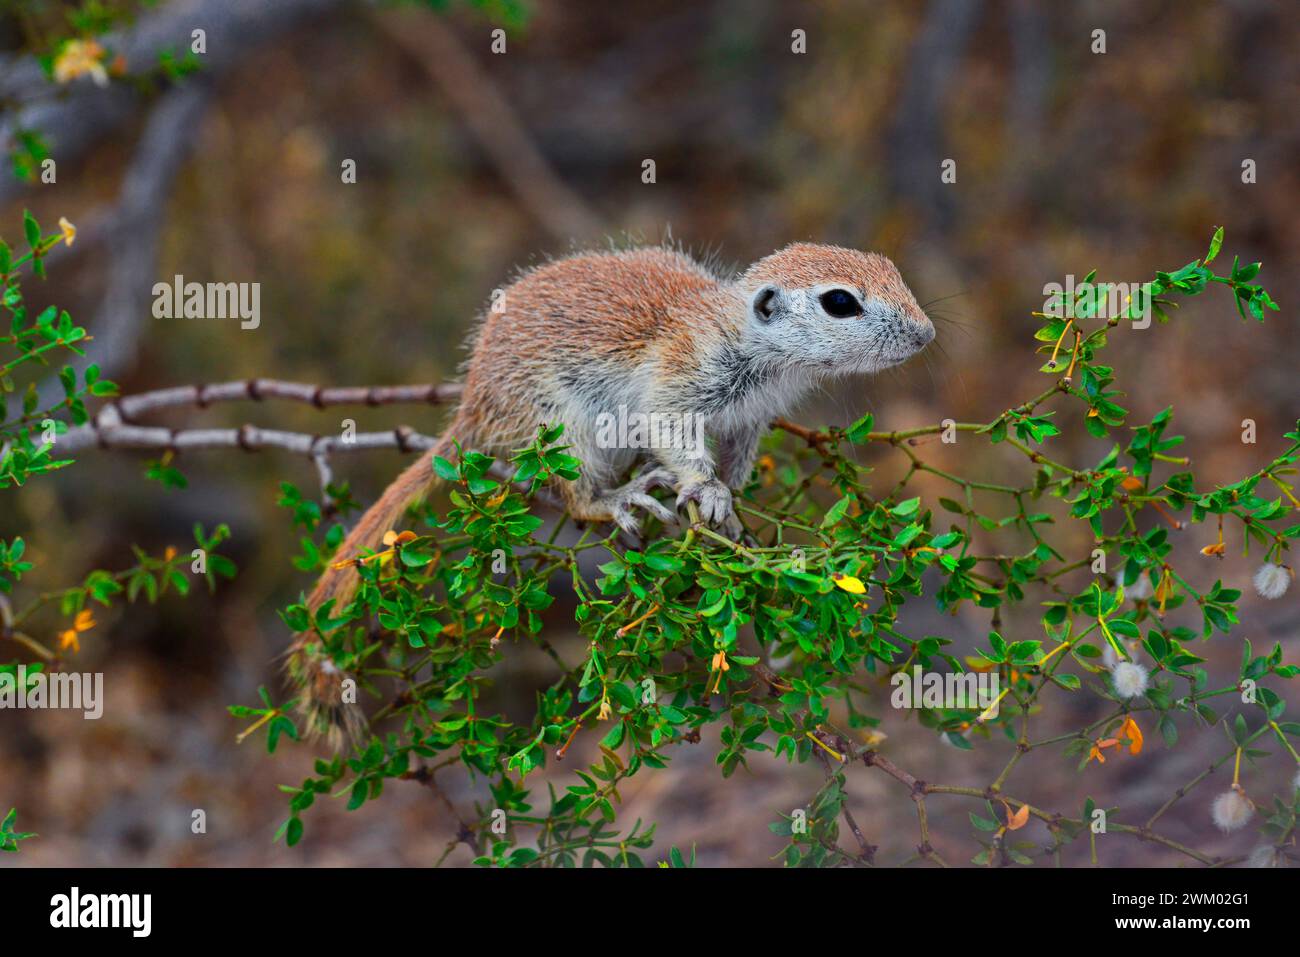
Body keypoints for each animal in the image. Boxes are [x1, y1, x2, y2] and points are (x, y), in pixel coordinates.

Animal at [289, 242, 934, 737]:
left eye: (891, 269)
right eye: (840, 302)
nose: (926, 334)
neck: (752, 345)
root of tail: (472, 406)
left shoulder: (750, 421)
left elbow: (736, 460)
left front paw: (731, 508)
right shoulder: (680, 378)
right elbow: (672, 431)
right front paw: (707, 491)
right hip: (558, 423)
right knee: (575, 491)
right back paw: (618, 498)